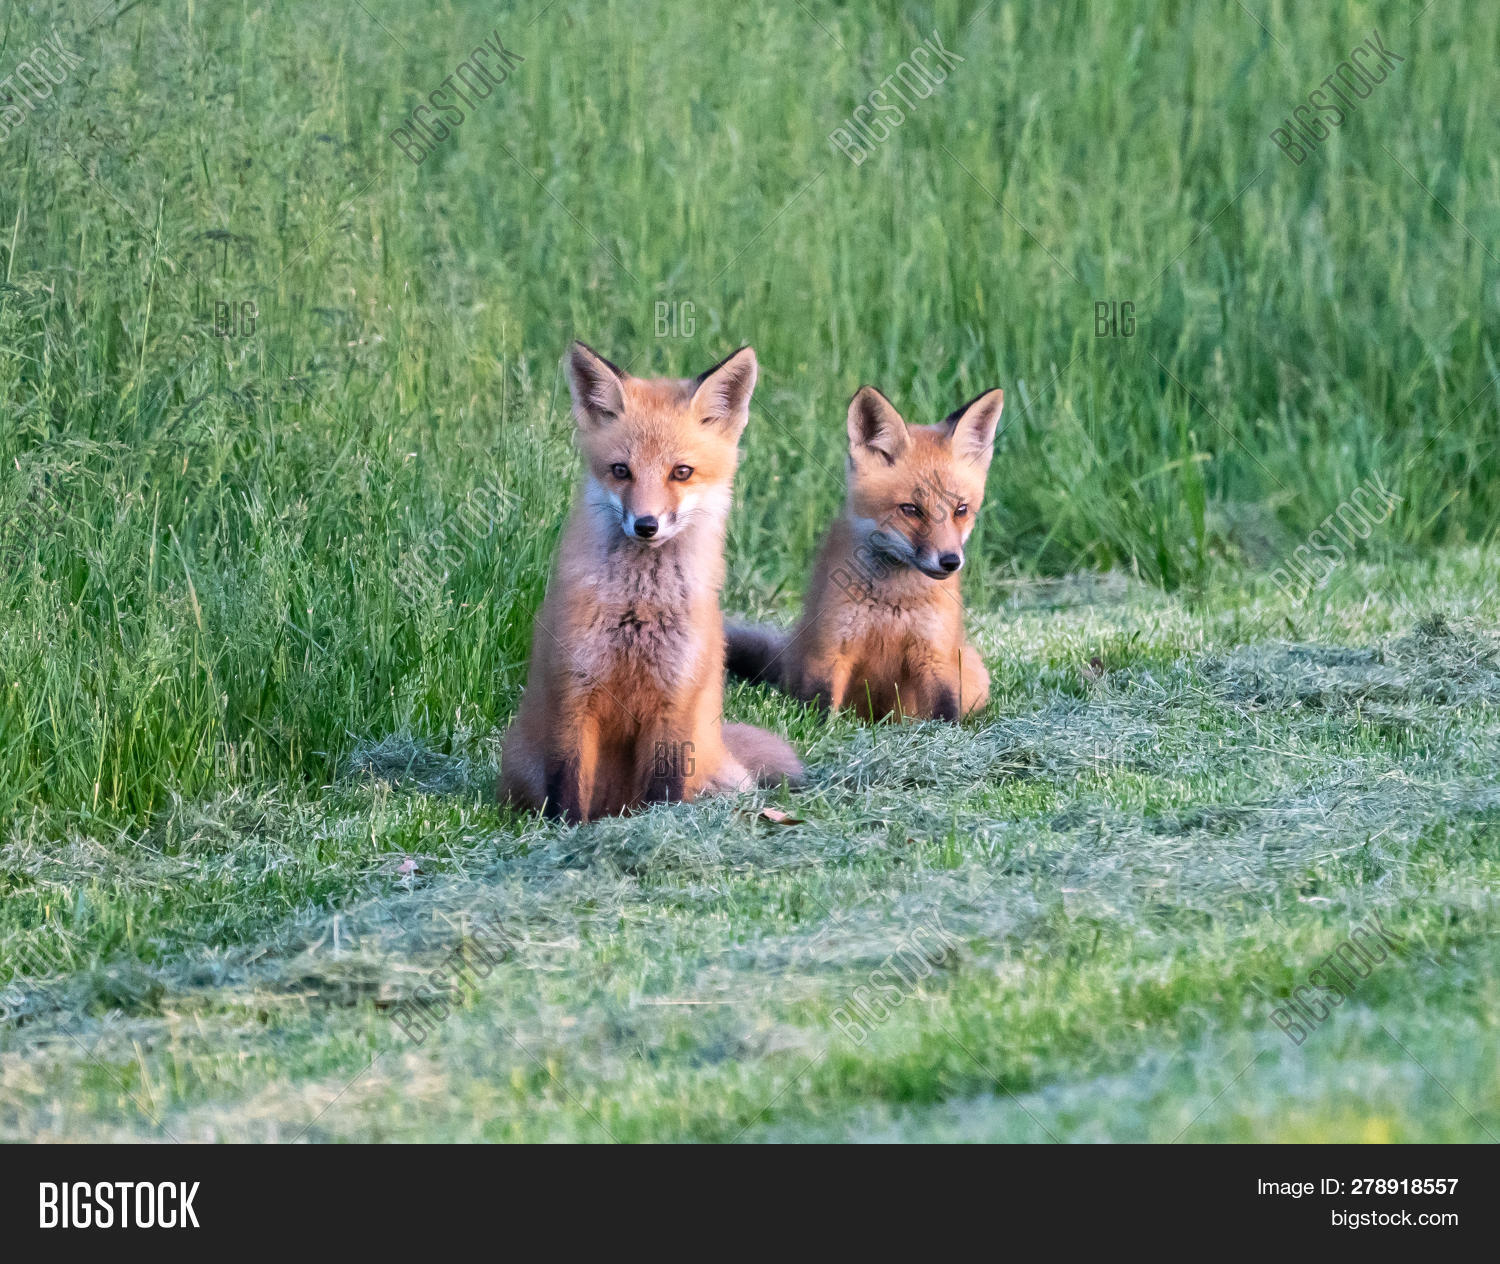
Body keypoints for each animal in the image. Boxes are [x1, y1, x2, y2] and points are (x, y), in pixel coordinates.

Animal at [499, 341, 804, 824]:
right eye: (621, 470)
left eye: (681, 472)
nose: (645, 525)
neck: (638, 611)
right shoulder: (574, 694)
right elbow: (567, 782)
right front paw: (565, 832)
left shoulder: (674, 702)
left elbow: (664, 790)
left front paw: (658, 827)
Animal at [726, 384, 1004, 722]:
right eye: (911, 509)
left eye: (961, 510)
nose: (950, 561)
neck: (894, 600)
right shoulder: (831, 650)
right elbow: (822, 707)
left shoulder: (935, 655)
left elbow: (946, 711)